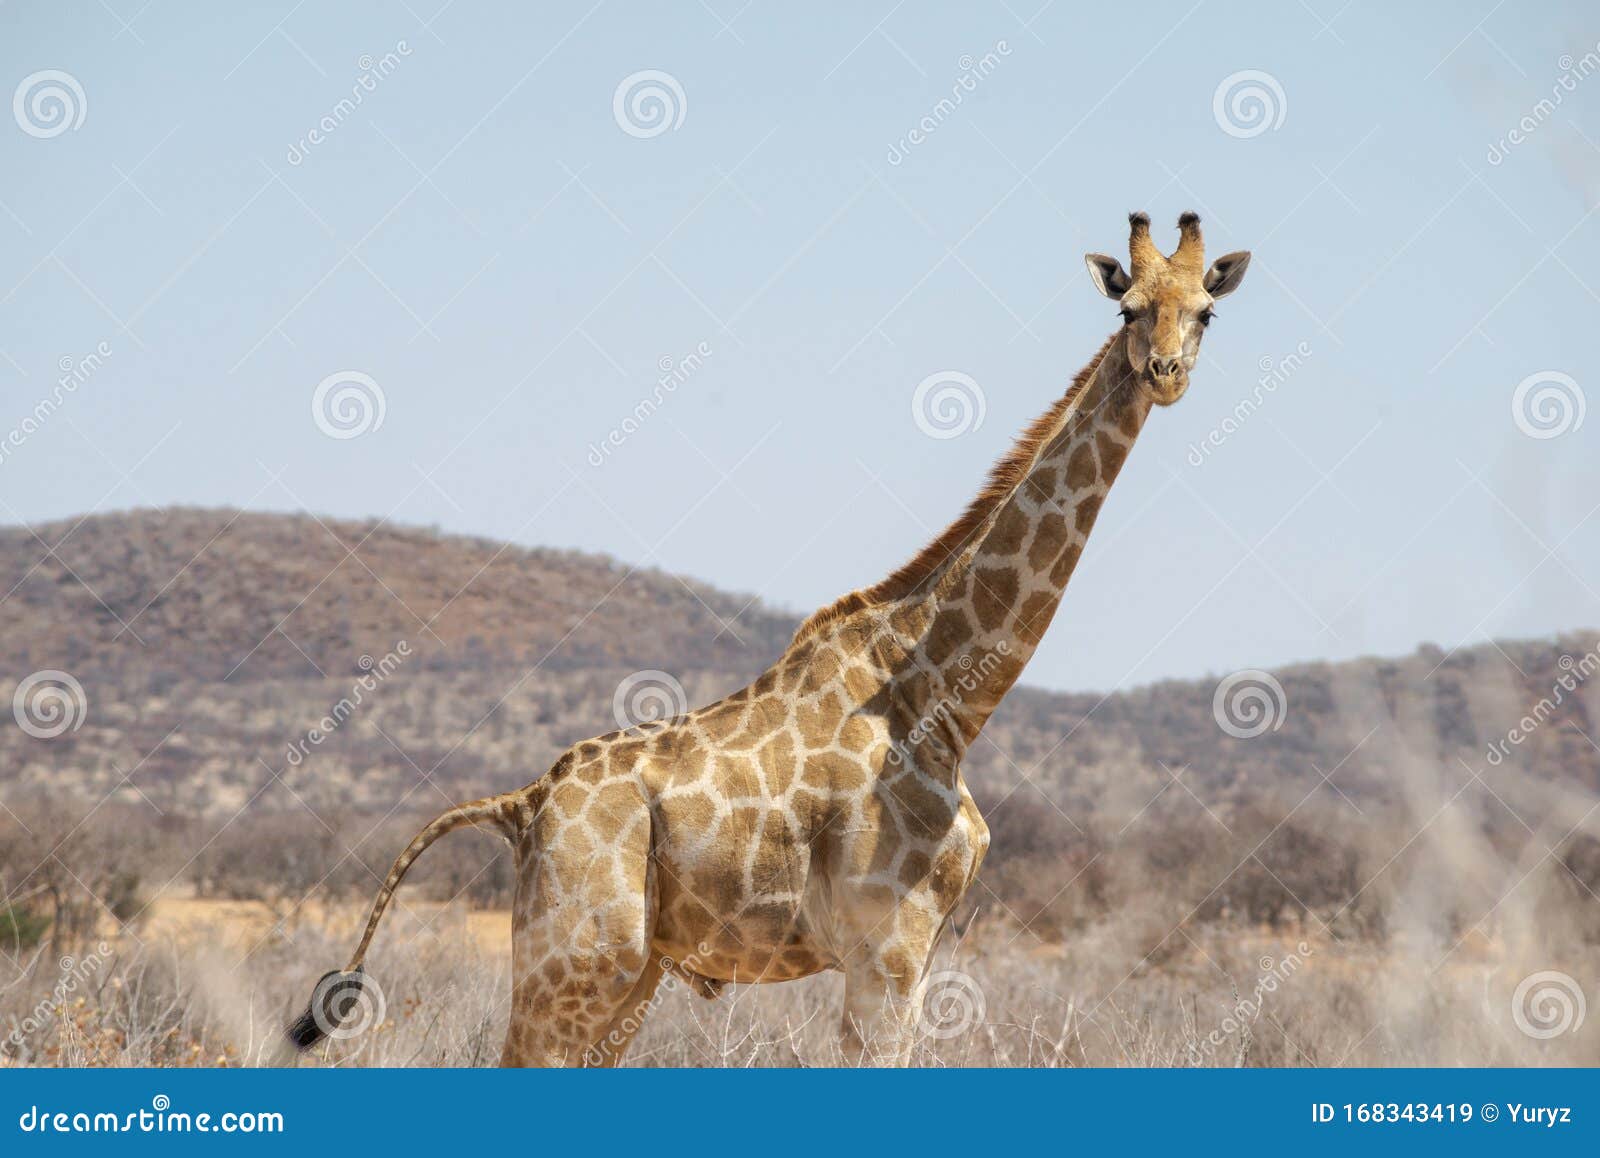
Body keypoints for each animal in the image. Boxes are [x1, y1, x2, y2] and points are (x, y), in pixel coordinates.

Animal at [287, 212, 1251, 1066]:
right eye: (1128, 311)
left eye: (1205, 309)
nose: (1165, 372)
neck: (945, 698)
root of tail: (522, 805)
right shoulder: (886, 949)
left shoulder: (914, 950)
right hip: (575, 961)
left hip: (628, 973)